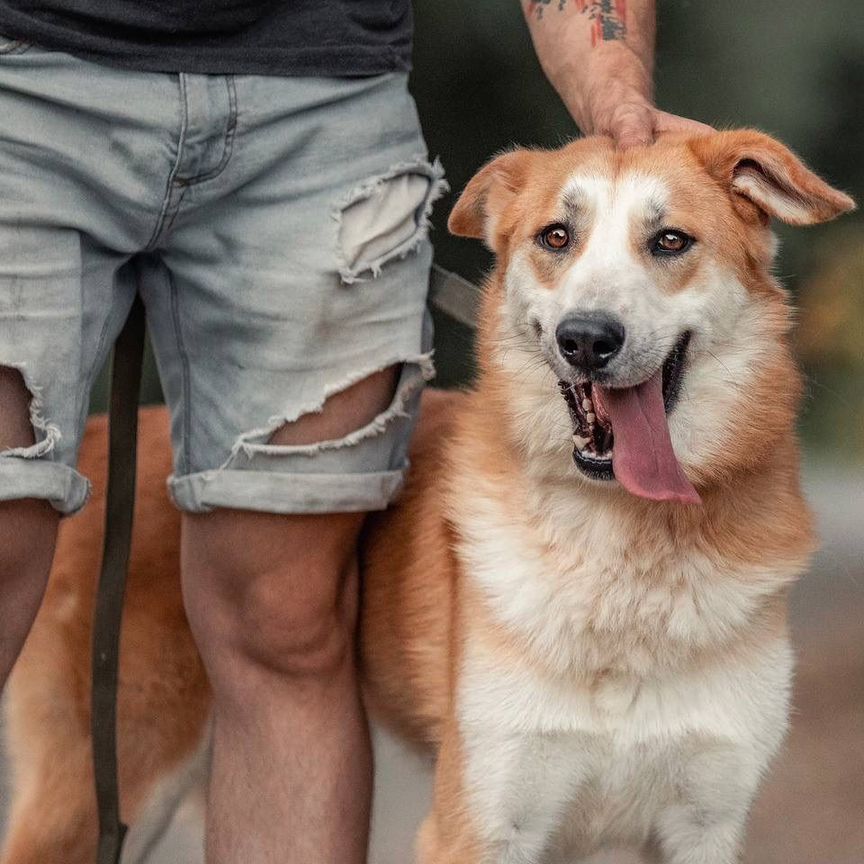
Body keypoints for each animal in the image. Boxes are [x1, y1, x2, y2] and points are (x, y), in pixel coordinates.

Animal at [0, 130, 852, 864]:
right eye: (556, 238)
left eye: (670, 242)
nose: (585, 338)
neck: (623, 555)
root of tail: (98, 443)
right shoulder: (478, 821)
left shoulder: (703, 827)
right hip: (101, 790)